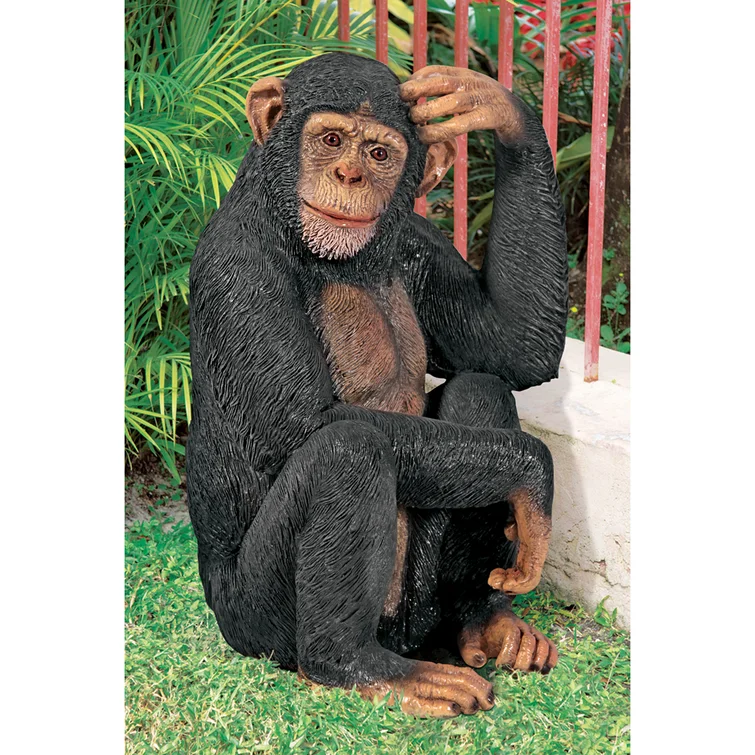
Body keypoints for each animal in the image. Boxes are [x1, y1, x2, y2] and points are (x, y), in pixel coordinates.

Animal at [187, 53, 569, 718]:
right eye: (331, 141)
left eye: (380, 153)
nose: (349, 173)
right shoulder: (238, 268)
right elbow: (303, 424)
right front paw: (533, 471)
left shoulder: (420, 243)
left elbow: (515, 348)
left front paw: (492, 105)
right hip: (256, 625)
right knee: (349, 452)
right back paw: (359, 668)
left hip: (416, 614)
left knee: (481, 386)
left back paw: (485, 620)